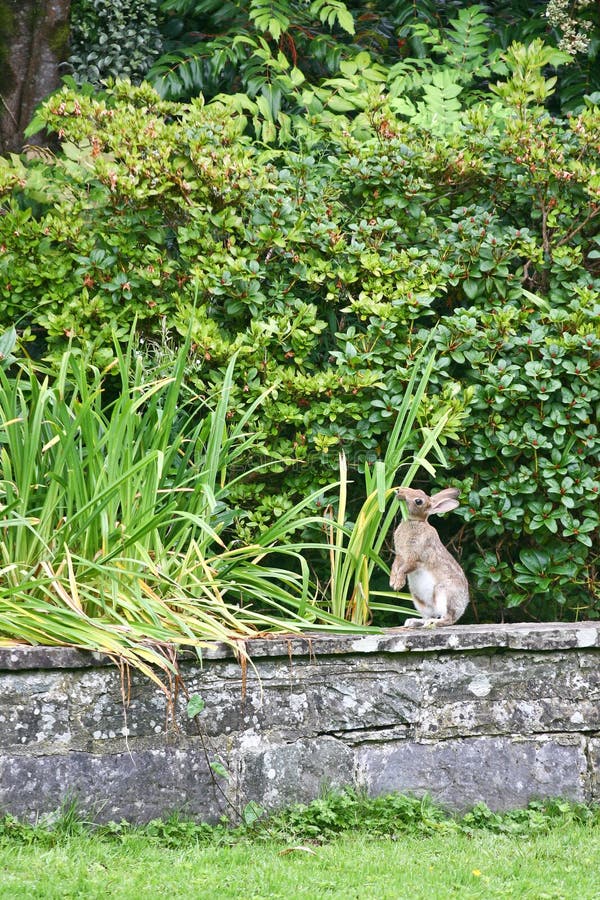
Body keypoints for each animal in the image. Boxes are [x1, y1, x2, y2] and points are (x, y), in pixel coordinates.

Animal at [389, 486, 469, 627]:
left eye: (418, 501)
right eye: (418, 490)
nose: (400, 491)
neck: (415, 521)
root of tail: (462, 608)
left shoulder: (416, 558)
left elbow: (405, 568)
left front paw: (398, 584)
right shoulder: (400, 555)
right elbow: (395, 566)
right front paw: (392, 581)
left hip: (443, 594)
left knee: (447, 619)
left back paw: (433, 622)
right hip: (419, 600)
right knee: (427, 616)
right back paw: (413, 622)